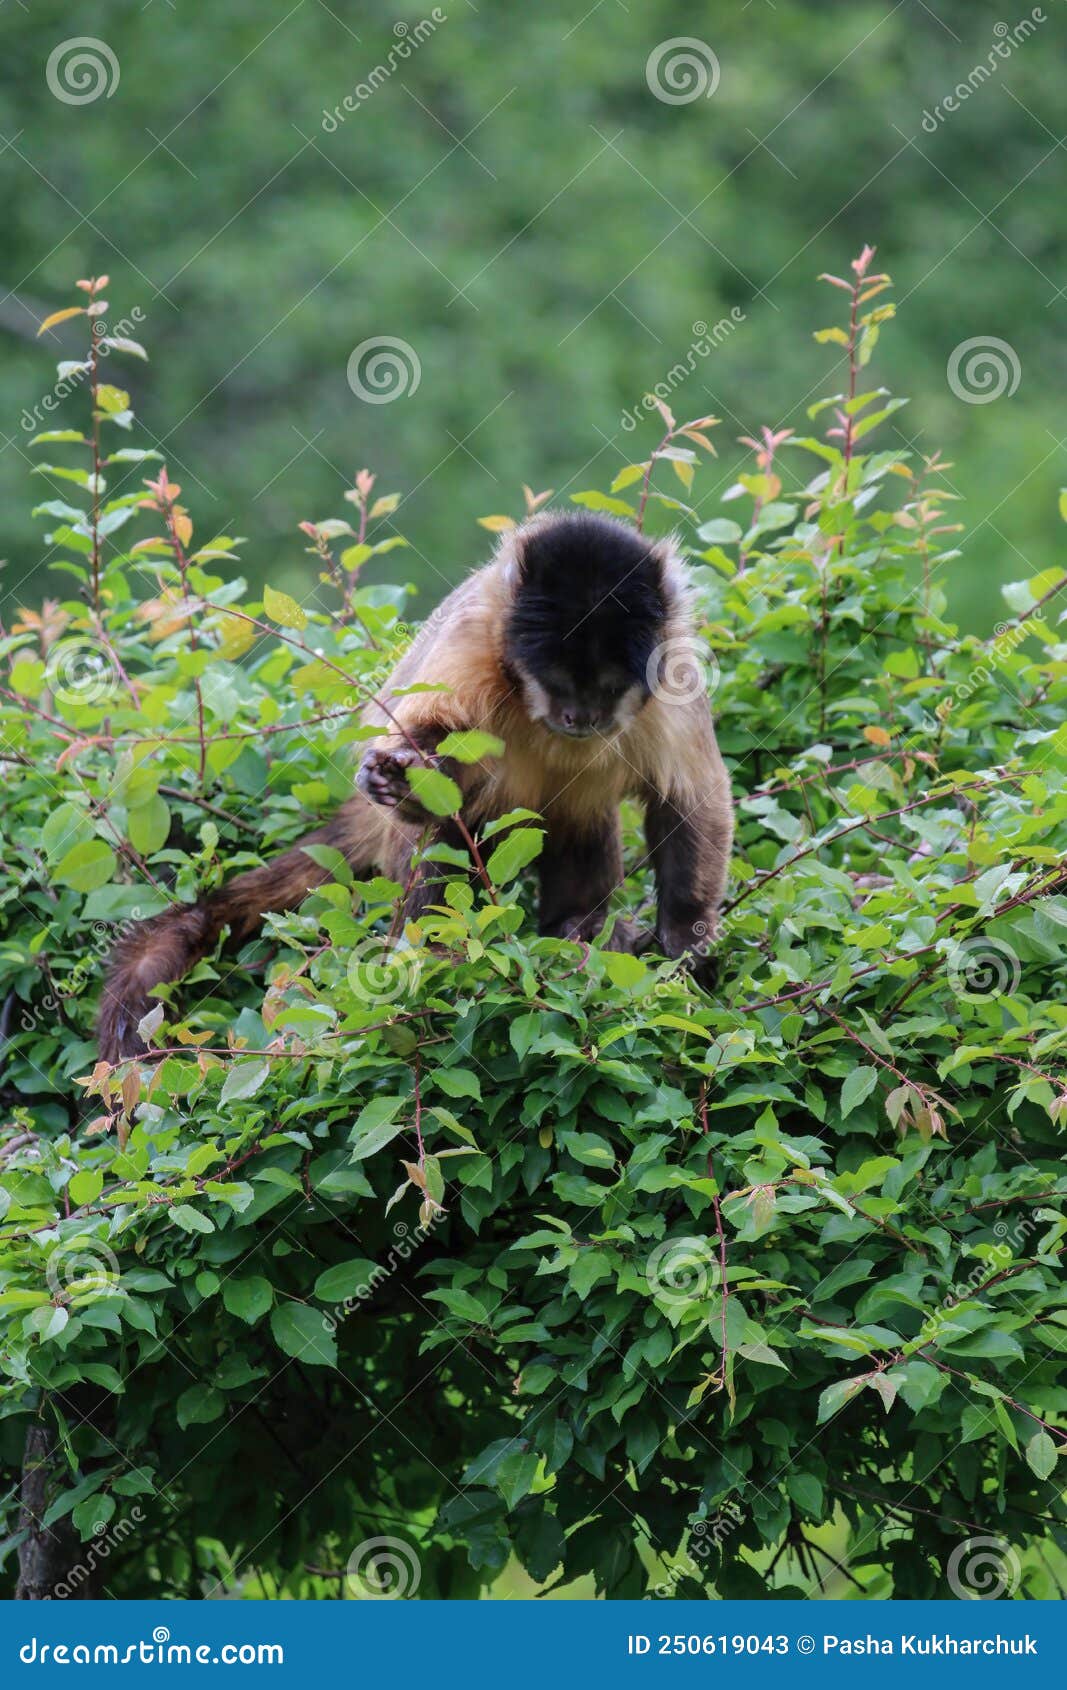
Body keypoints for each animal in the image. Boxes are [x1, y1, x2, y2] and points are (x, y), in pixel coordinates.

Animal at [97, 510, 732, 1062]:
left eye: (606, 688)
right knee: (438, 830)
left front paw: (685, 937)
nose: (580, 717)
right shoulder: (476, 638)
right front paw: (402, 779)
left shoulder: (671, 664)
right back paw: (442, 952)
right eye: (556, 680)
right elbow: (438, 755)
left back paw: (576, 929)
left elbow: (689, 798)